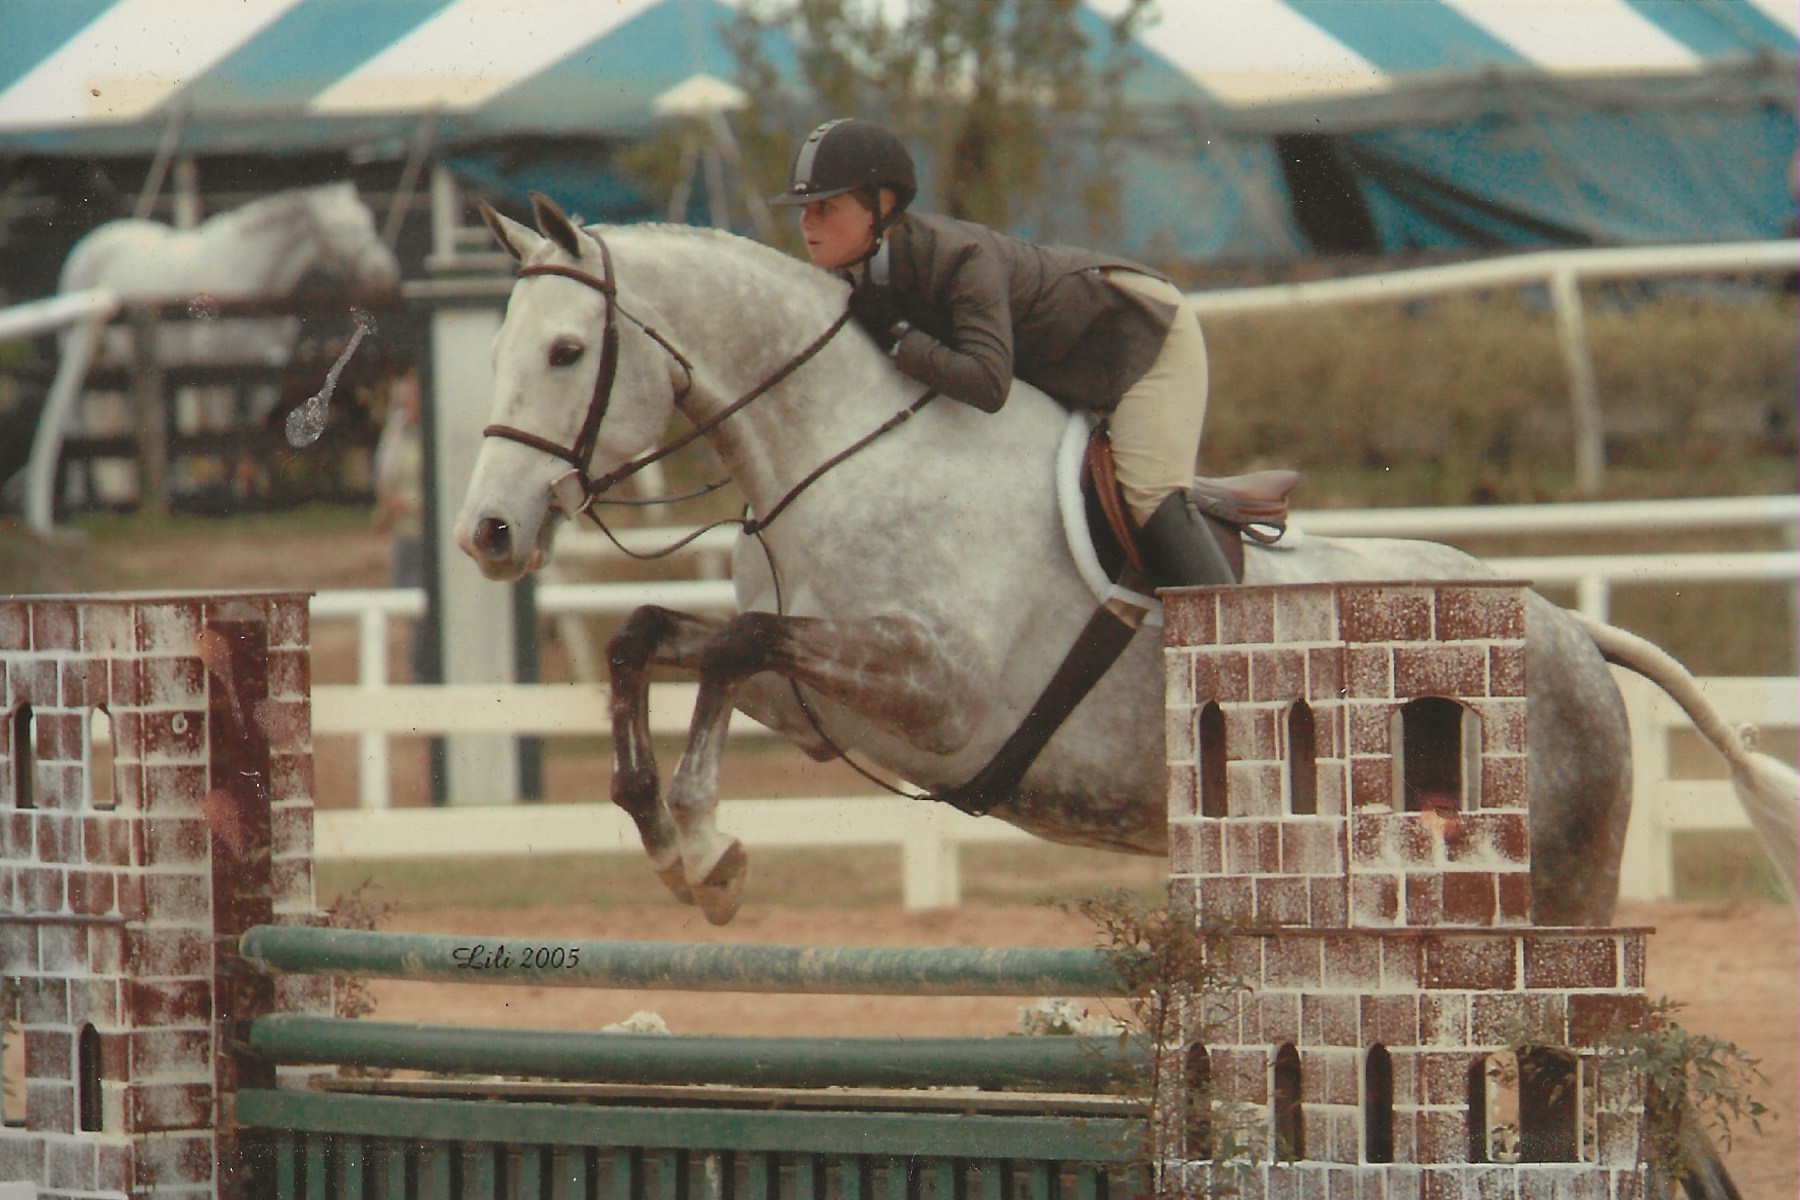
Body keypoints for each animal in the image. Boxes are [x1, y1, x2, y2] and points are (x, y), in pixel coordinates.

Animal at [454, 196, 1797, 947]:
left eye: (567, 352)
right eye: (502, 347)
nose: (489, 536)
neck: (841, 441)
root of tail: (1572, 629)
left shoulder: (931, 692)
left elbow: (728, 646)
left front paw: (702, 848)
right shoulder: (826, 702)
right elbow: (657, 638)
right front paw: (682, 840)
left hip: (1550, 882)